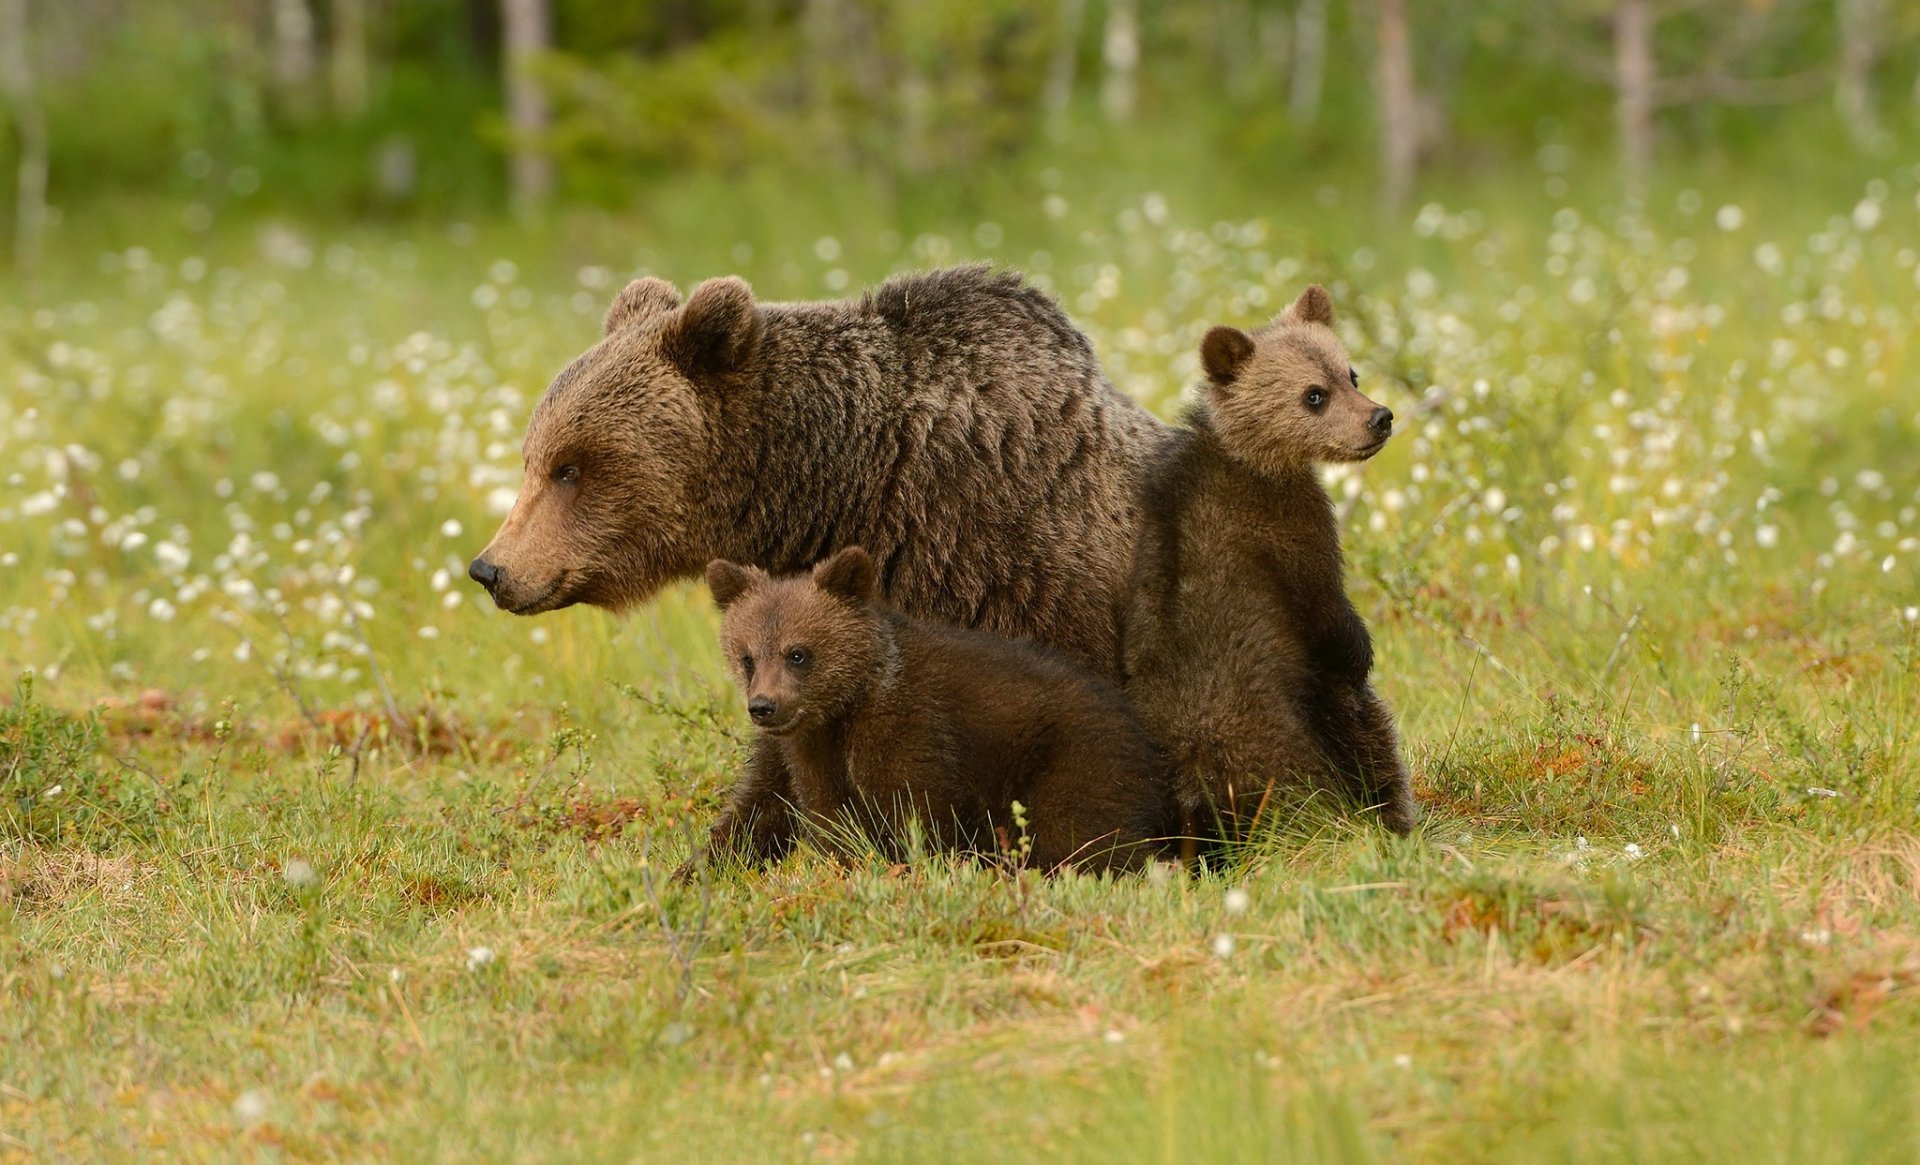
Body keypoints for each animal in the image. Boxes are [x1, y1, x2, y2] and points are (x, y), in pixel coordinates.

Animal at [706, 546, 1176, 873]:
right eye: (747, 657)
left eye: (798, 654)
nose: (764, 706)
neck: (847, 707)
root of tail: (1137, 730)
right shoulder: (813, 751)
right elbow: (827, 816)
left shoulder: (911, 725)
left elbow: (918, 811)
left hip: (1075, 761)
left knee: (1083, 836)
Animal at [1121, 285, 1417, 842]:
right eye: (1313, 395)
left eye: (1351, 373)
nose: (1380, 417)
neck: (1249, 458)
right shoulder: (1291, 528)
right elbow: (1329, 612)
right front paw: (1362, 647)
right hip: (1278, 741)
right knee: (1362, 735)